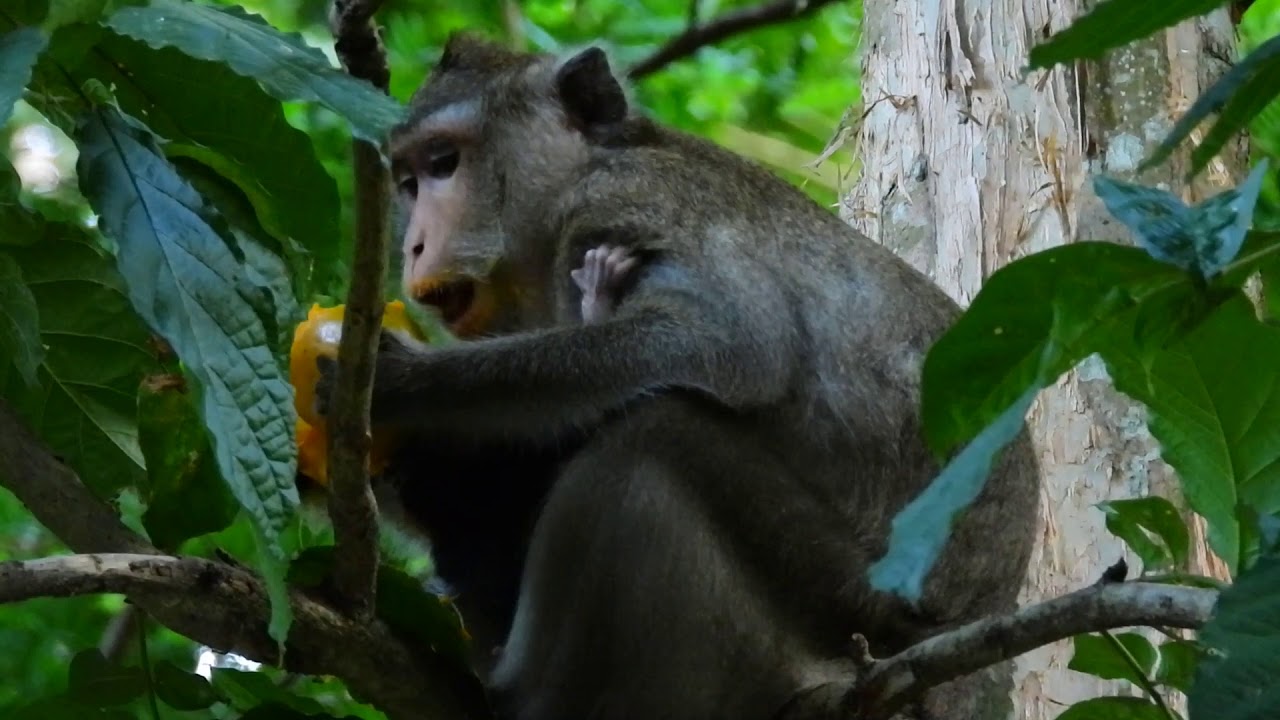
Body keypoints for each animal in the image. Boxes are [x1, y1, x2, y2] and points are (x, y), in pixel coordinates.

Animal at [316, 33, 1041, 720]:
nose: (413, 244)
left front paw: (396, 385)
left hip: (835, 620)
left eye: (444, 164)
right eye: (407, 180)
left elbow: (729, 338)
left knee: (658, 434)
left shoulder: (625, 200)